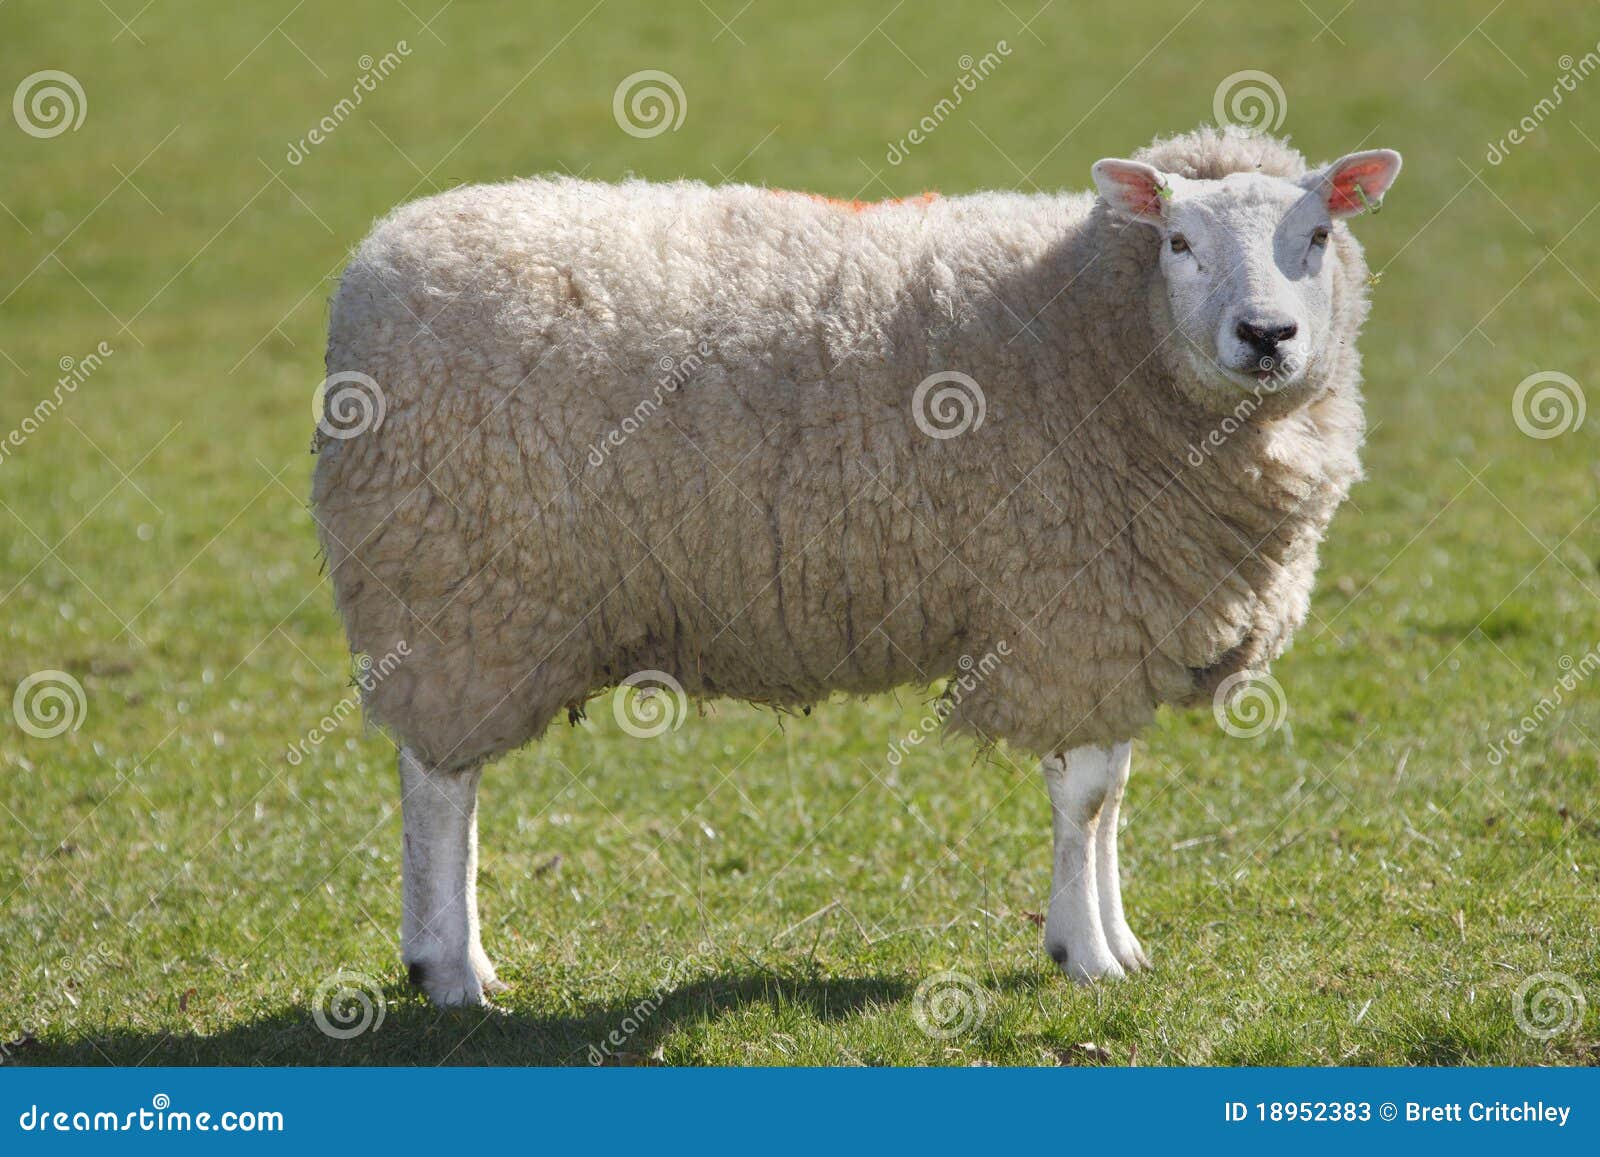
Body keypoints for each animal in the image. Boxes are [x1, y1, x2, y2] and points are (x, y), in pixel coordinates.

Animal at [311, 126, 1401, 1005]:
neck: (1095, 329)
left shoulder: (1117, 623)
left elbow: (1112, 793)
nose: (1265, 334)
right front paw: (1085, 956)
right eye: (1179, 243)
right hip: (459, 588)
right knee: (441, 783)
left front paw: (1116, 941)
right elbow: (1085, 797)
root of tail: (374, 261)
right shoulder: (1069, 612)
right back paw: (454, 968)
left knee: (433, 773)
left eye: (1315, 237)